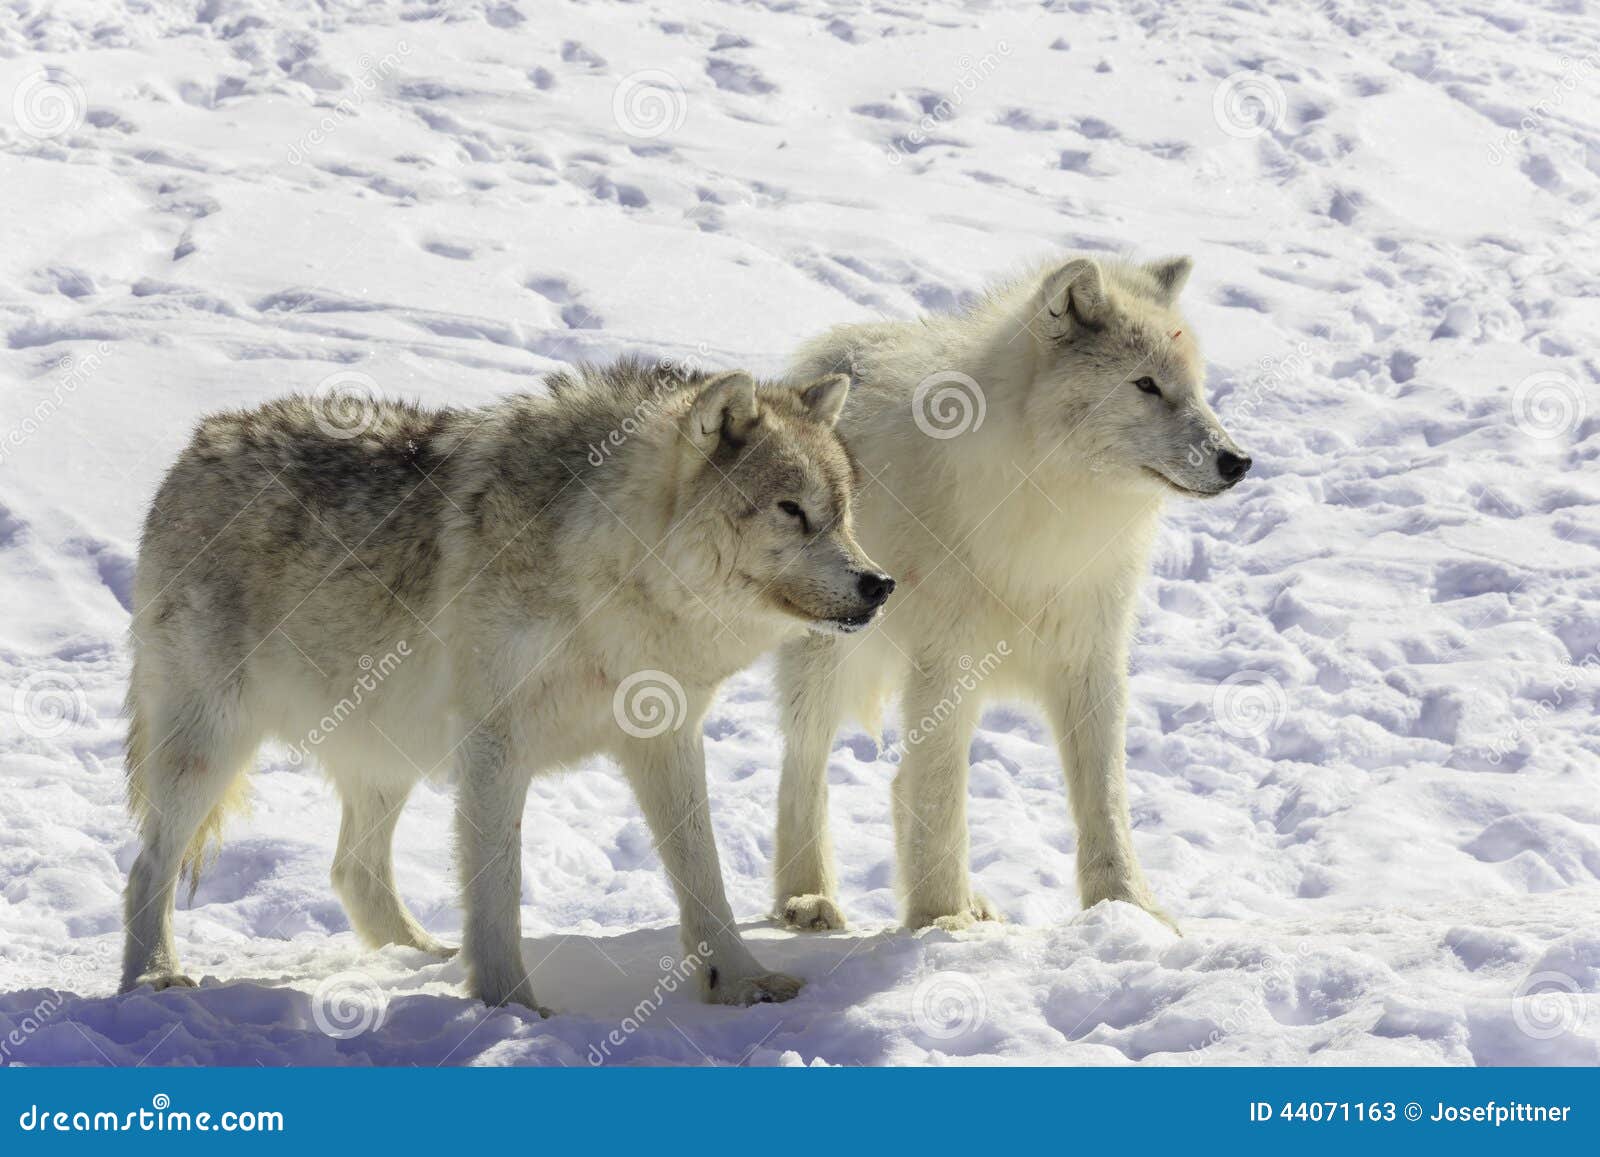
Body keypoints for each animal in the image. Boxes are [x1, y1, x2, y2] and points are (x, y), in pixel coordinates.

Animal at [119, 359, 894, 1012]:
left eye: (844, 511)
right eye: (790, 509)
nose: (880, 584)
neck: (612, 572)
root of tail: (197, 443)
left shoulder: (666, 737)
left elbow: (706, 878)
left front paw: (740, 981)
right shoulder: (494, 745)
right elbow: (498, 889)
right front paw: (512, 1008)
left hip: (388, 751)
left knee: (352, 868)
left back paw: (421, 959)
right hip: (211, 746)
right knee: (148, 868)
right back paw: (154, 978)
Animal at [771, 255, 1250, 933]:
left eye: (1198, 387)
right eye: (1146, 385)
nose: (1238, 461)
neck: (1050, 505)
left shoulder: (1091, 657)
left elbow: (1104, 799)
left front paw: (1130, 911)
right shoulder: (946, 663)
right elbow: (942, 794)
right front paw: (941, 921)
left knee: (898, 782)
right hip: (829, 659)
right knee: (804, 771)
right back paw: (808, 900)